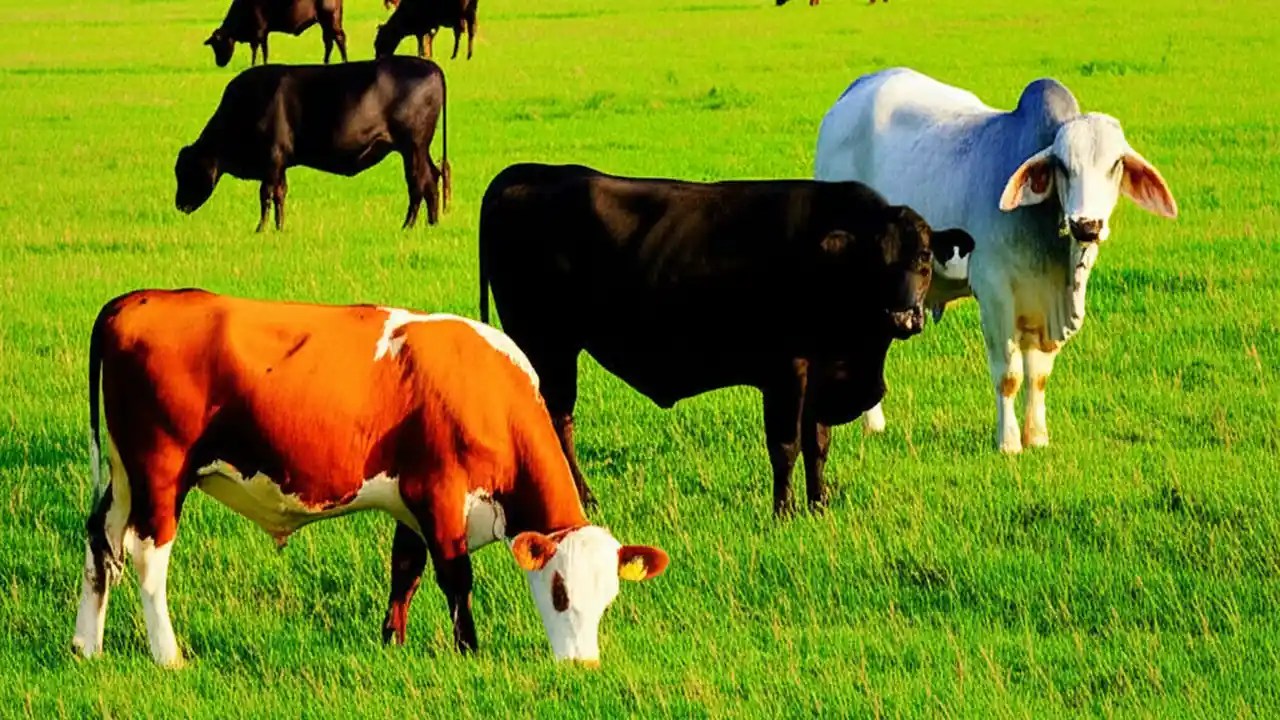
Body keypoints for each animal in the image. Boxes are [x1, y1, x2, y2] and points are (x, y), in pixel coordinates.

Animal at [71, 289, 670, 668]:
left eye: (610, 598)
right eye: (561, 593)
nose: (583, 664)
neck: (486, 390)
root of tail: (137, 300)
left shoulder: (411, 502)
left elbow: (404, 572)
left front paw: (392, 643)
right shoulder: (440, 495)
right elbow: (456, 578)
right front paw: (468, 651)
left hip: (124, 476)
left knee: (101, 541)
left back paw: (86, 646)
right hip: (161, 473)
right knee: (147, 557)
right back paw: (168, 655)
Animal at [175, 56, 451, 233]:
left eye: (187, 172)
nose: (179, 204)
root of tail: (432, 66)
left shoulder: (271, 160)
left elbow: (266, 194)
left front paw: (261, 228)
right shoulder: (280, 164)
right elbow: (280, 194)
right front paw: (279, 227)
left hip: (412, 147)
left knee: (419, 182)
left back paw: (409, 225)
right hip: (420, 148)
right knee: (432, 178)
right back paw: (432, 224)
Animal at [205, 0, 348, 67]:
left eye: (218, 45)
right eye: (213, 46)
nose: (219, 63)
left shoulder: (258, 32)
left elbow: (256, 50)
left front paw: (254, 65)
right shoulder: (263, 33)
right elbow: (263, 50)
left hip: (330, 20)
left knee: (339, 38)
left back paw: (344, 61)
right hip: (326, 23)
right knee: (329, 42)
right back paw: (326, 62)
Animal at [477, 163, 974, 515]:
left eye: (924, 257)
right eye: (875, 259)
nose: (903, 316)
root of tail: (527, 172)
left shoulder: (823, 374)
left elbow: (818, 443)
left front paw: (819, 505)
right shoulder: (787, 368)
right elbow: (786, 445)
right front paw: (783, 513)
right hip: (547, 342)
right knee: (556, 418)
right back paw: (584, 498)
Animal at [814, 67, 1177, 452]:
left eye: (1115, 165)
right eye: (1063, 166)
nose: (1087, 225)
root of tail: (853, 92)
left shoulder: (1043, 306)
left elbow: (1038, 375)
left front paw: (1038, 437)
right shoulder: (995, 293)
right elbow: (1009, 375)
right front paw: (1009, 442)